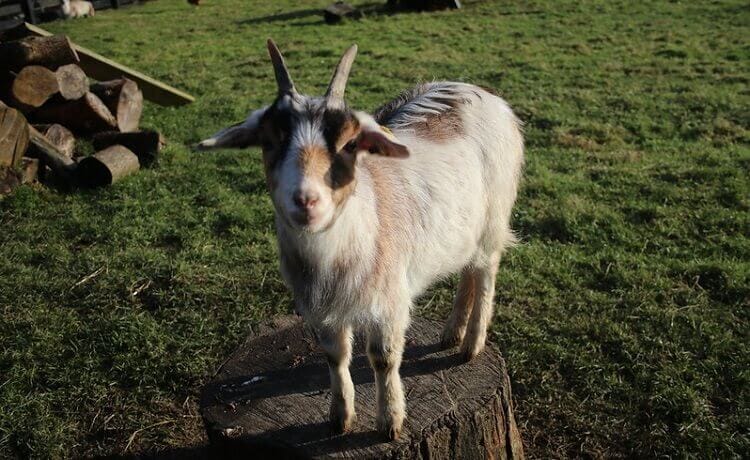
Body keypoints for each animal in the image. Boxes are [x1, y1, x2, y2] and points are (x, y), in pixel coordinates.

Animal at [197, 40, 524, 440]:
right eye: (269, 141)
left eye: (350, 144)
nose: (305, 200)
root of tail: (480, 91)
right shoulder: (322, 309)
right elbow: (335, 356)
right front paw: (339, 417)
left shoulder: (390, 302)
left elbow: (384, 359)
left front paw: (390, 421)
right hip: (464, 229)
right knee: (467, 271)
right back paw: (451, 333)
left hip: (494, 219)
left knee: (487, 272)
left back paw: (471, 345)